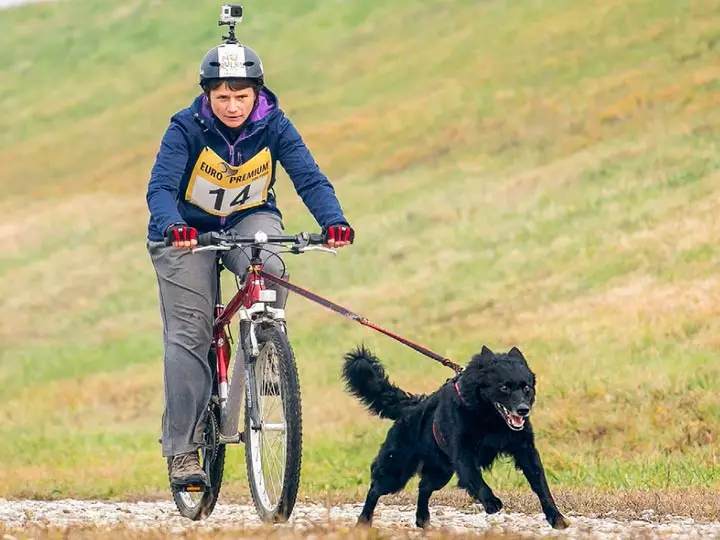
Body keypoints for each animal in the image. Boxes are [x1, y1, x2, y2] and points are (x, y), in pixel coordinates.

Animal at [340, 344, 572, 528]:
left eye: (526, 388)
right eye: (504, 387)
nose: (523, 410)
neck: (488, 417)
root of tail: (410, 407)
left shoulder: (525, 451)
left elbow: (541, 485)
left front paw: (557, 518)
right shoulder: (463, 453)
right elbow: (475, 479)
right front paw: (491, 502)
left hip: (440, 472)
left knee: (424, 487)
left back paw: (423, 521)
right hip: (396, 470)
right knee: (375, 489)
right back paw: (363, 522)